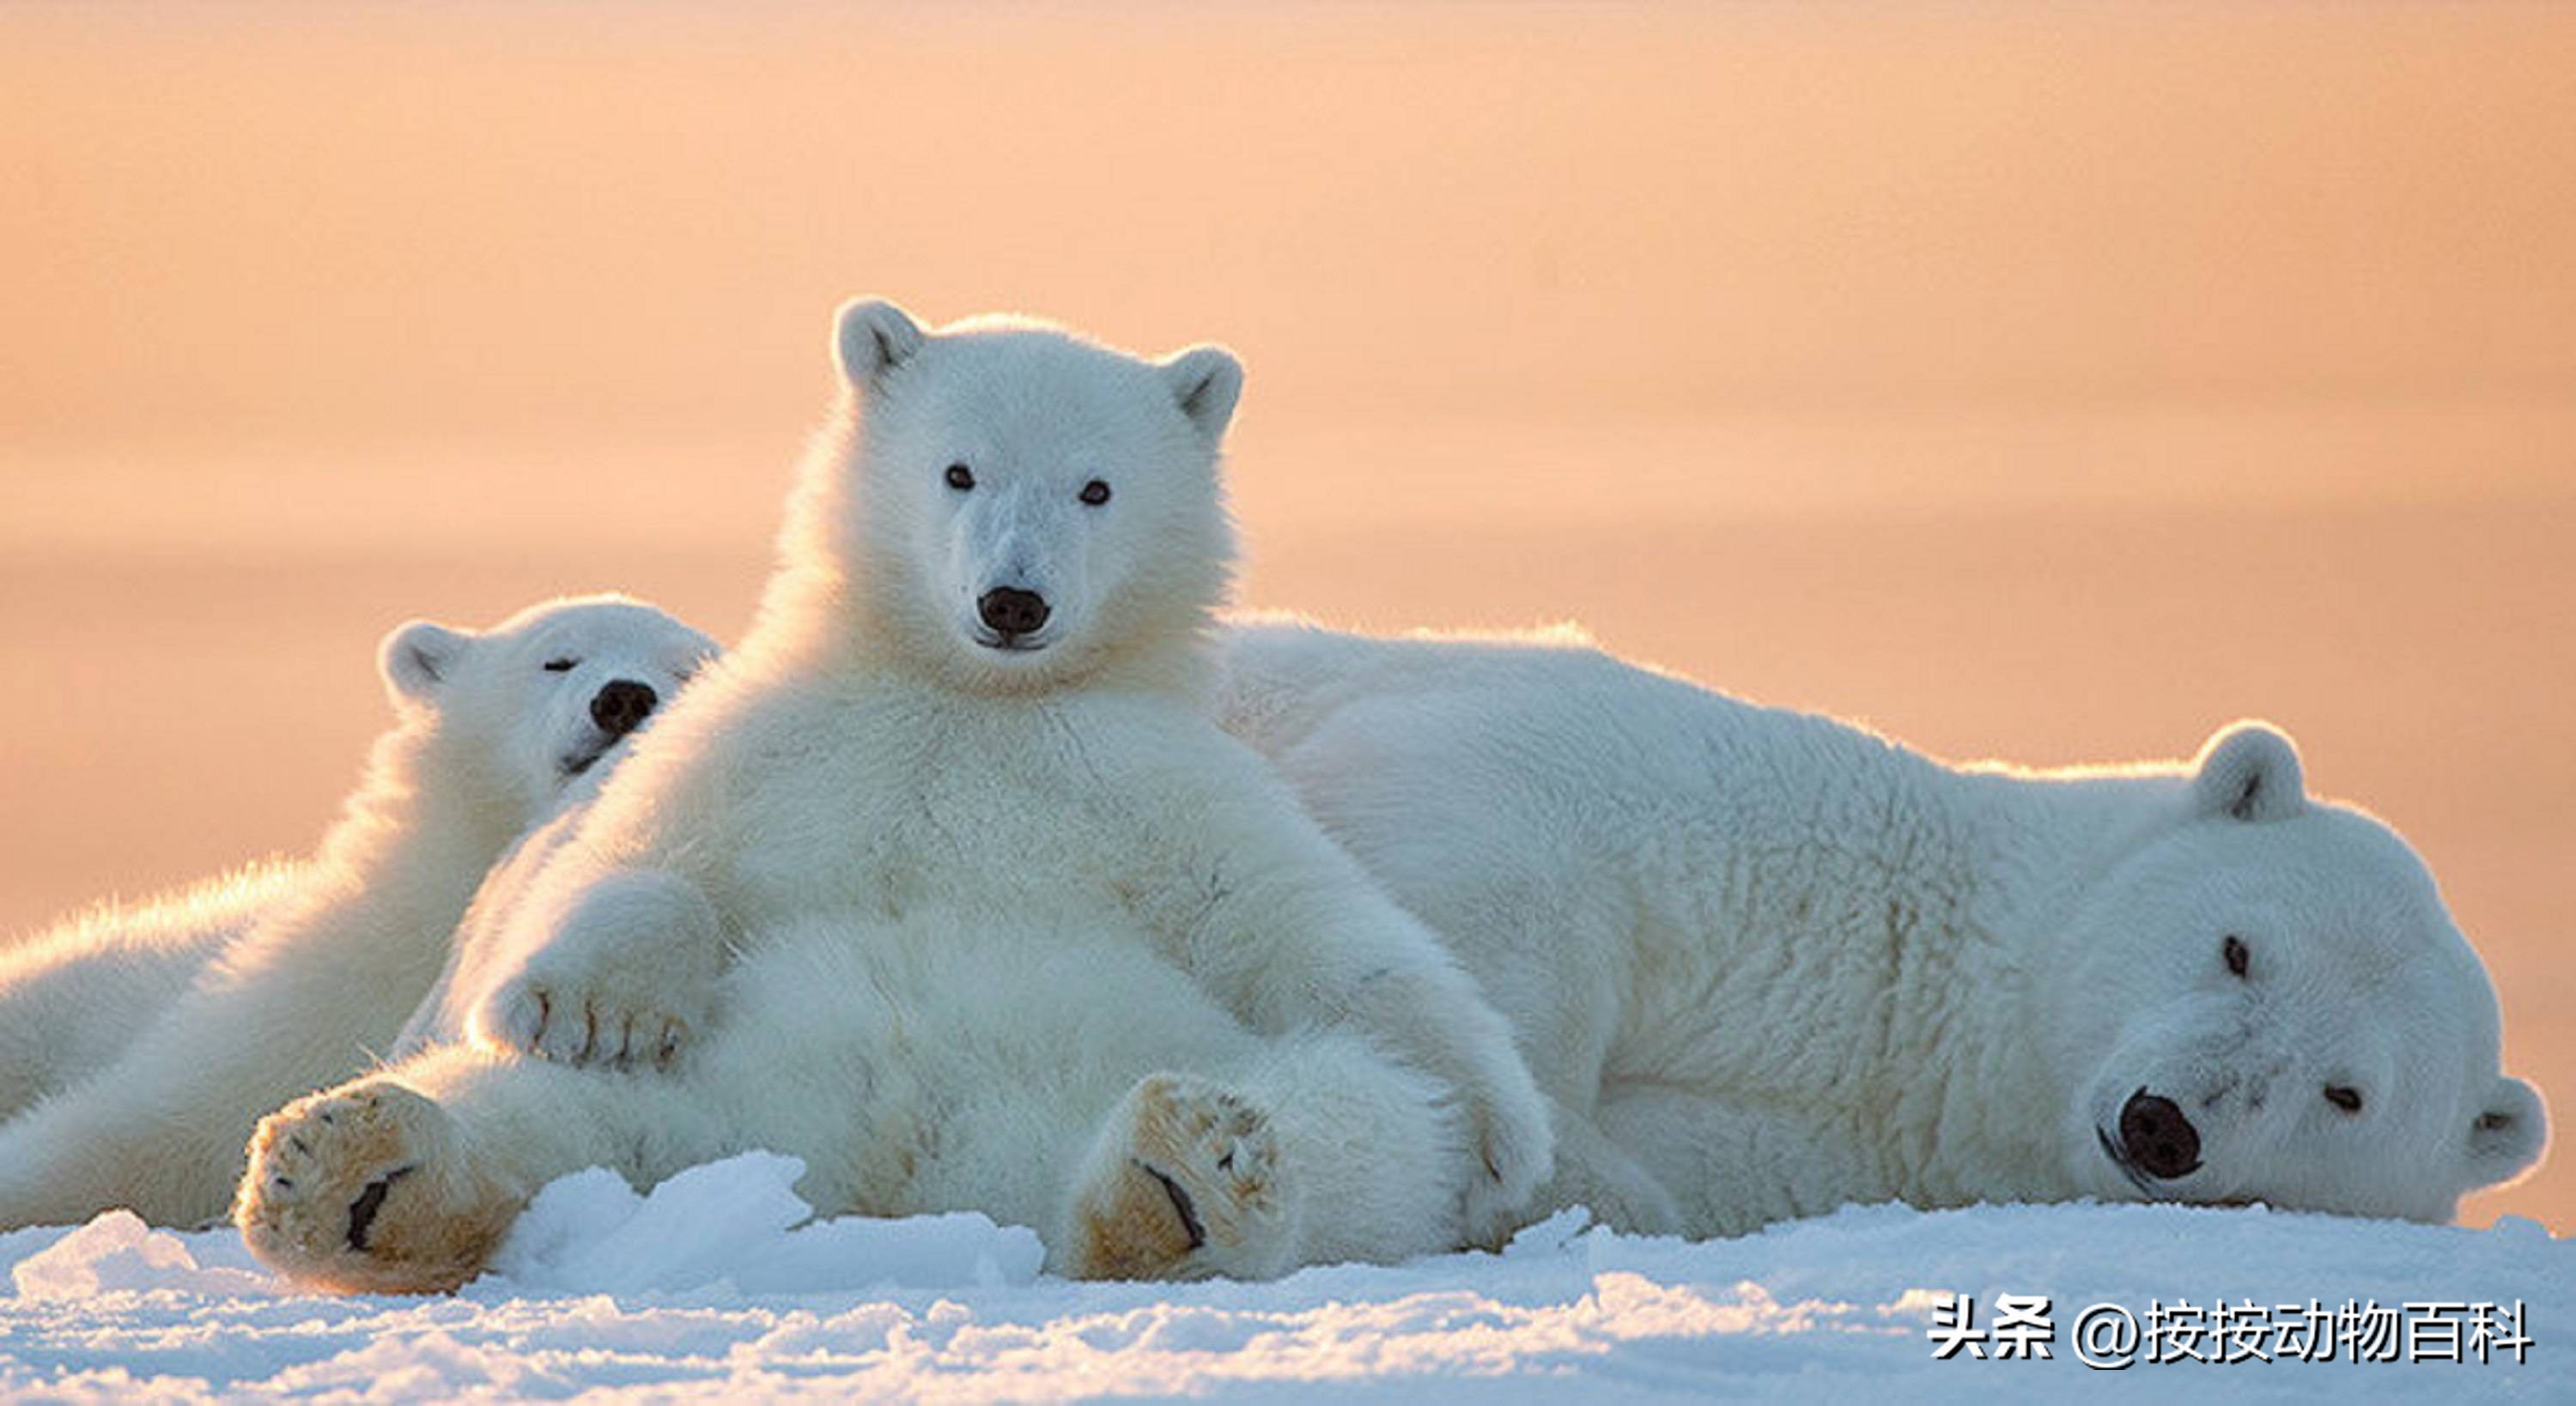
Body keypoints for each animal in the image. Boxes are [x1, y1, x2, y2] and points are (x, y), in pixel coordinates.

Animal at [230, 300, 1553, 1296]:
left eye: (1097, 488)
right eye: (958, 469)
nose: (1013, 600)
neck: (973, 702)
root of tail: (903, 1182)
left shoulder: (1148, 774)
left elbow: (1311, 925)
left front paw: (1506, 1133)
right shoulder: (793, 735)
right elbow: (627, 852)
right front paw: (596, 1002)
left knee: (1360, 1120)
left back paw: (1187, 1176)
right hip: (706, 1094)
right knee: (540, 1109)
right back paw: (349, 1167)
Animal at [1215, 619, 2548, 1236]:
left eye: (2346, 1094)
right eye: (2239, 948)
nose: (2164, 1125)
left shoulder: (1840, 1153)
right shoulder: (1690, 792)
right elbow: (1476, 849)